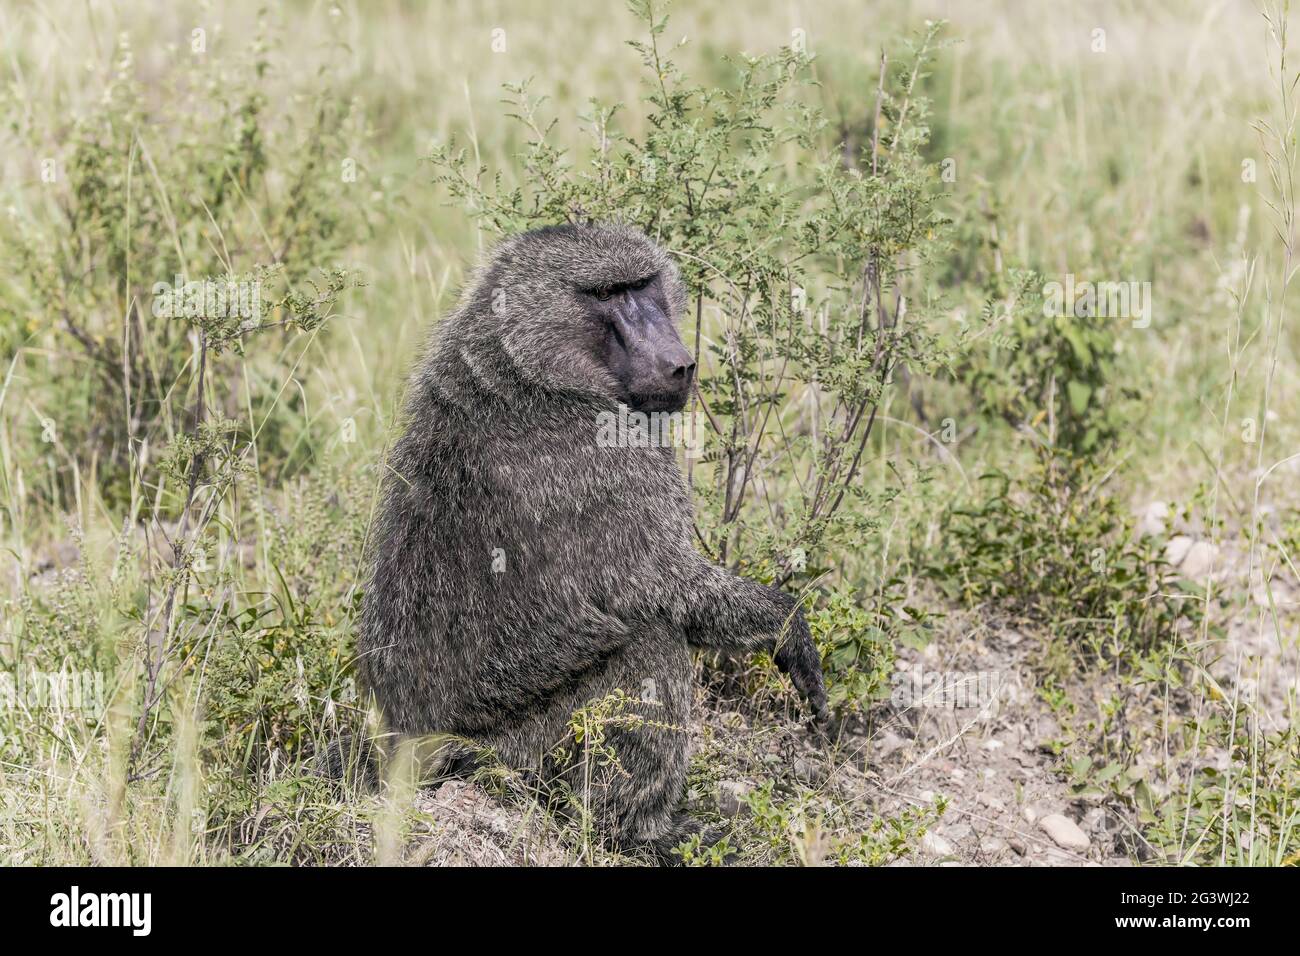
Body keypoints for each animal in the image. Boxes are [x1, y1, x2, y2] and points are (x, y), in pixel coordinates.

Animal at [354, 222, 827, 861]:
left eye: (642, 284)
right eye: (606, 295)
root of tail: (419, 748)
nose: (678, 365)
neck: (519, 365)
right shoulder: (611, 454)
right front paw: (790, 627)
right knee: (653, 642)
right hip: (526, 752)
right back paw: (640, 831)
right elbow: (668, 587)